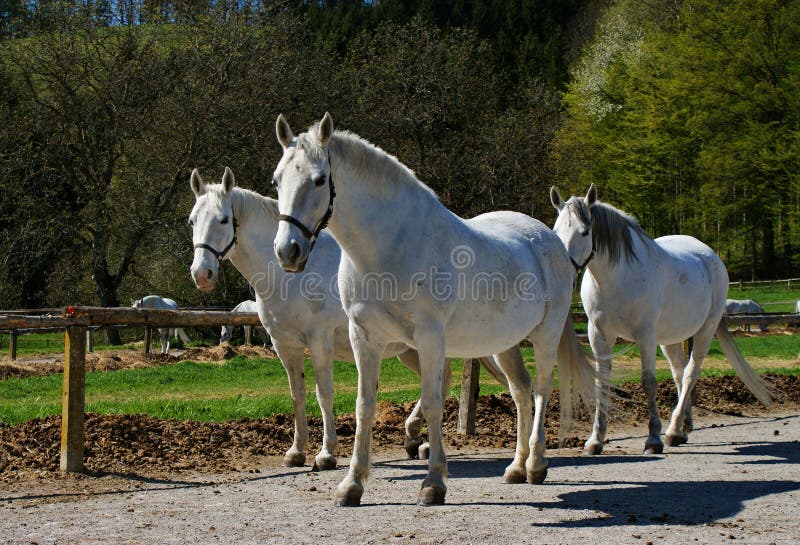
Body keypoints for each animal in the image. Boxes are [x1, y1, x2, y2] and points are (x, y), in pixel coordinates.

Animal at [188, 167, 510, 471]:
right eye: (192, 221)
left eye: (223, 220)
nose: (202, 274)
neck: (290, 278)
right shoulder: (284, 345)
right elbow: (297, 394)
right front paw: (296, 452)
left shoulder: (319, 341)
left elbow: (324, 394)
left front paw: (326, 453)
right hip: (408, 350)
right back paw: (414, 439)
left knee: (440, 384)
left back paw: (424, 443)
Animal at [271, 113, 595, 506]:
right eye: (276, 180)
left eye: (319, 179)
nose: (288, 251)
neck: (392, 245)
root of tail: (551, 241)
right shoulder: (364, 337)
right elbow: (365, 406)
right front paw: (352, 484)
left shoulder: (428, 339)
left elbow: (431, 403)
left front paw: (433, 483)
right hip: (503, 344)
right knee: (521, 390)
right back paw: (516, 468)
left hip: (545, 336)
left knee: (542, 390)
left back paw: (536, 465)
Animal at [550, 184, 773, 455]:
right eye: (556, 231)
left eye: (584, 232)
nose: (563, 271)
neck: (617, 278)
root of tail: (710, 256)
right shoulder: (599, 335)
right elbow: (601, 382)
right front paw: (595, 440)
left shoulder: (645, 336)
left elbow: (649, 382)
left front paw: (653, 439)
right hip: (670, 338)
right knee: (679, 372)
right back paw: (683, 426)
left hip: (705, 331)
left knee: (690, 373)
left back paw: (673, 431)